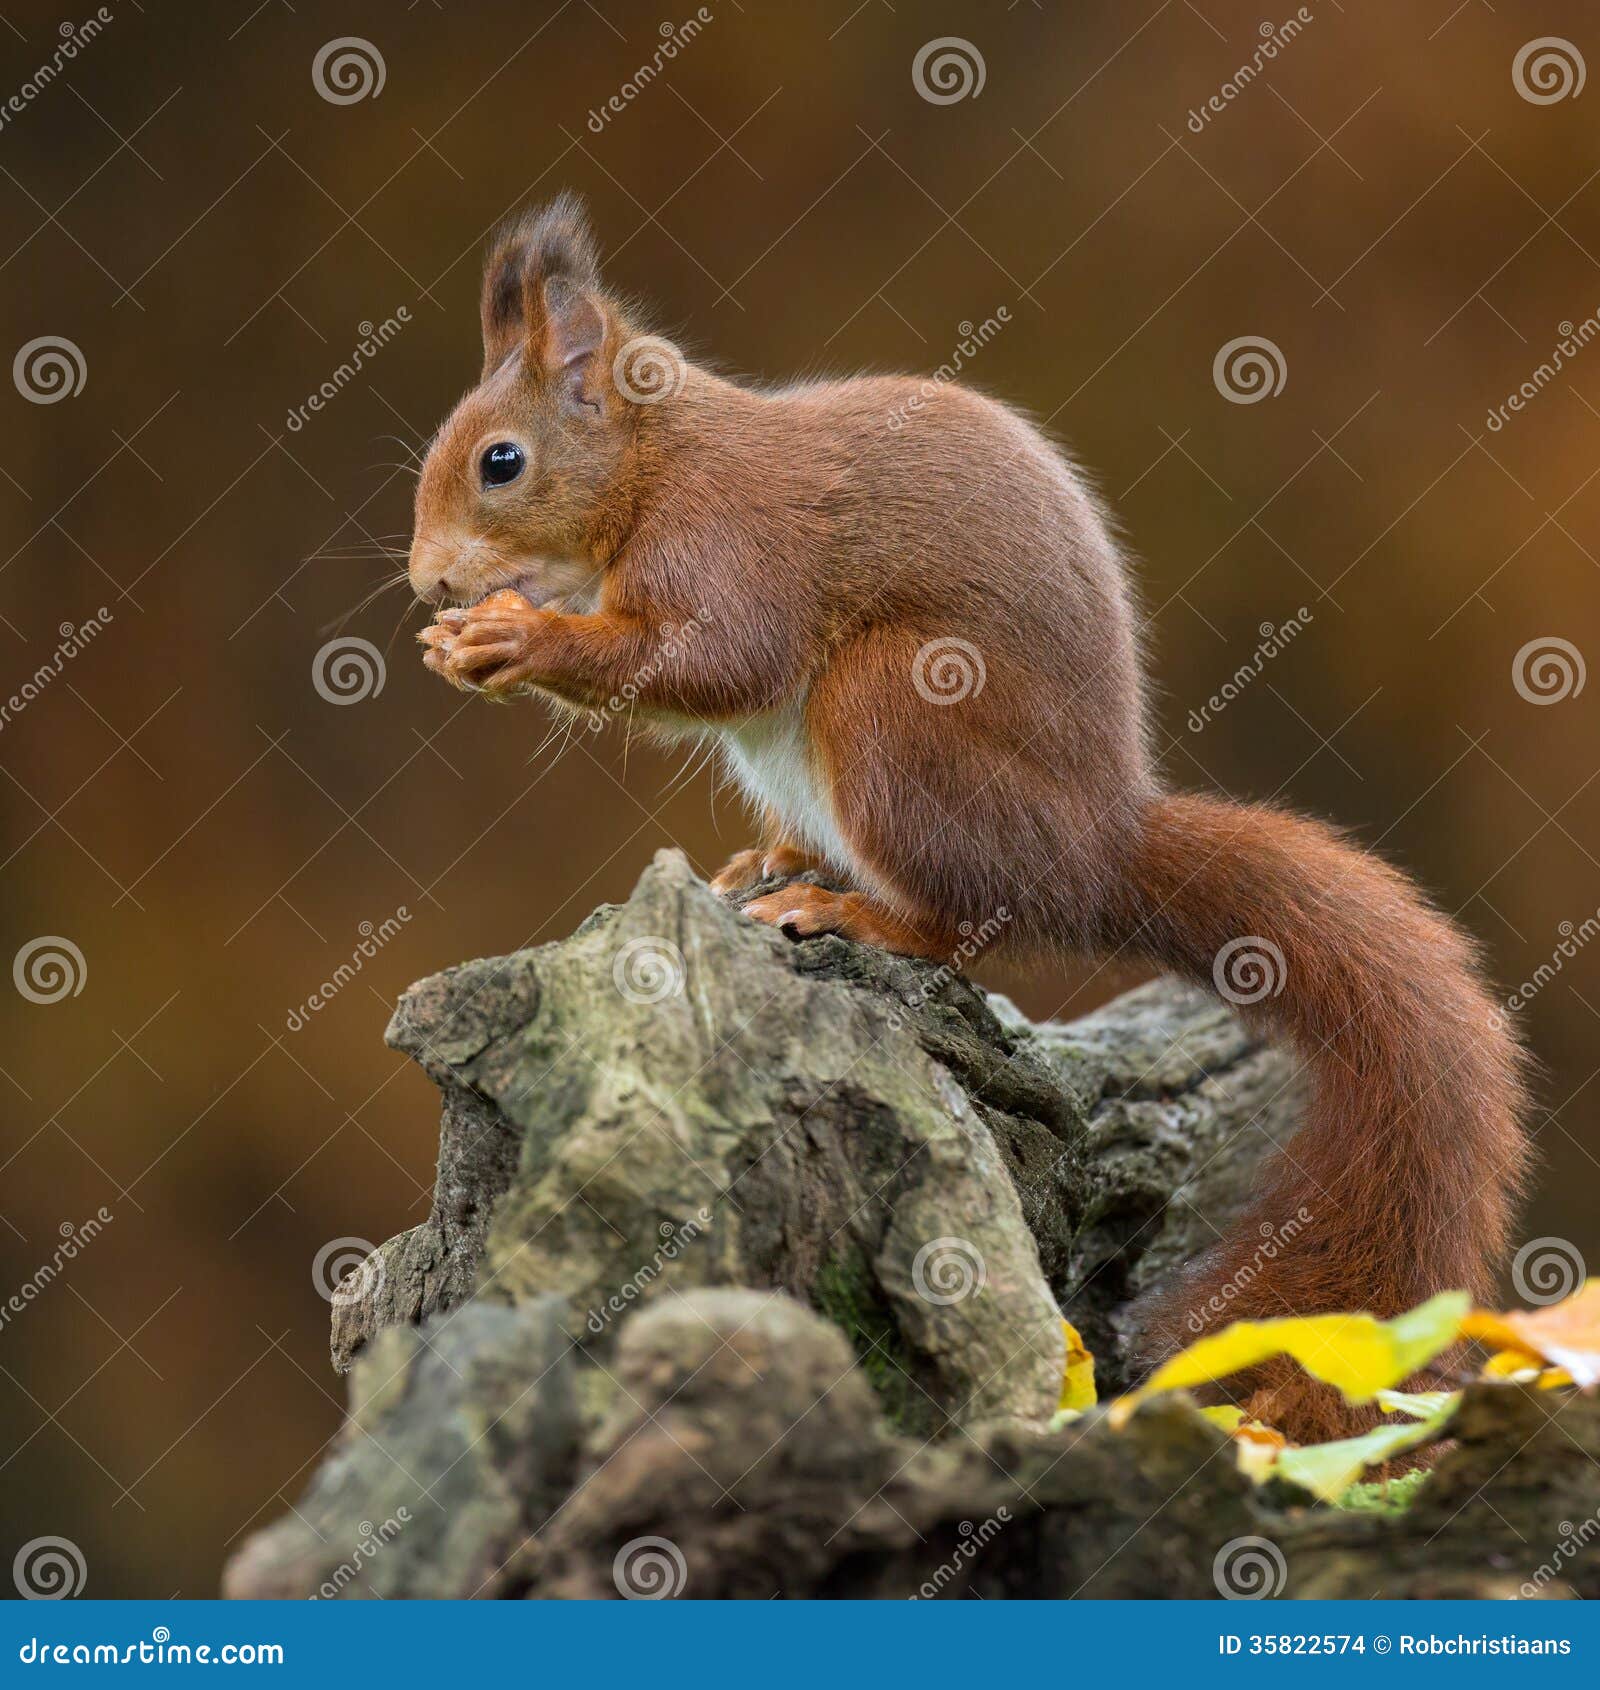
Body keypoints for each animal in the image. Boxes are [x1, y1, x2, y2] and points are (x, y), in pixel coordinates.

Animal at [408, 194, 1530, 1442]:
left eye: (501, 462)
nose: (427, 583)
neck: (659, 458)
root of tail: (1097, 850)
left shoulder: (726, 538)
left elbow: (716, 655)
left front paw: (515, 639)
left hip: (896, 709)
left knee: (960, 919)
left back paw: (847, 913)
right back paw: (773, 859)